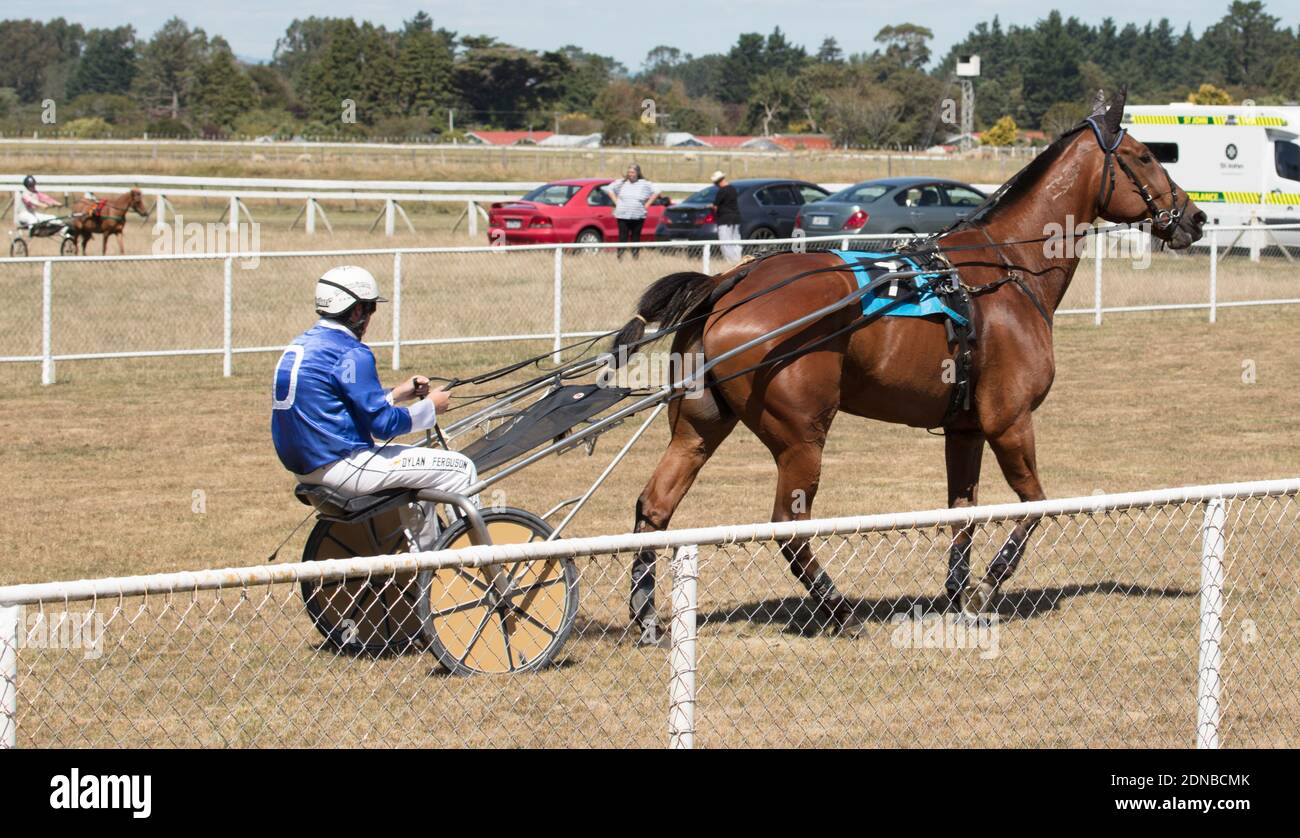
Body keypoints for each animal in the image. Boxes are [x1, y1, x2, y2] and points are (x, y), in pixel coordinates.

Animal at [610, 89, 1206, 644]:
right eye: (1144, 155)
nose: (1195, 216)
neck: (1006, 268)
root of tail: (731, 282)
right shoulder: (1010, 421)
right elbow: (1036, 504)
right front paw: (987, 586)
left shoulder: (965, 430)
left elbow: (963, 511)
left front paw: (959, 594)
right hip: (801, 437)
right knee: (788, 527)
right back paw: (837, 610)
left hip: (699, 426)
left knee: (654, 507)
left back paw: (647, 618)